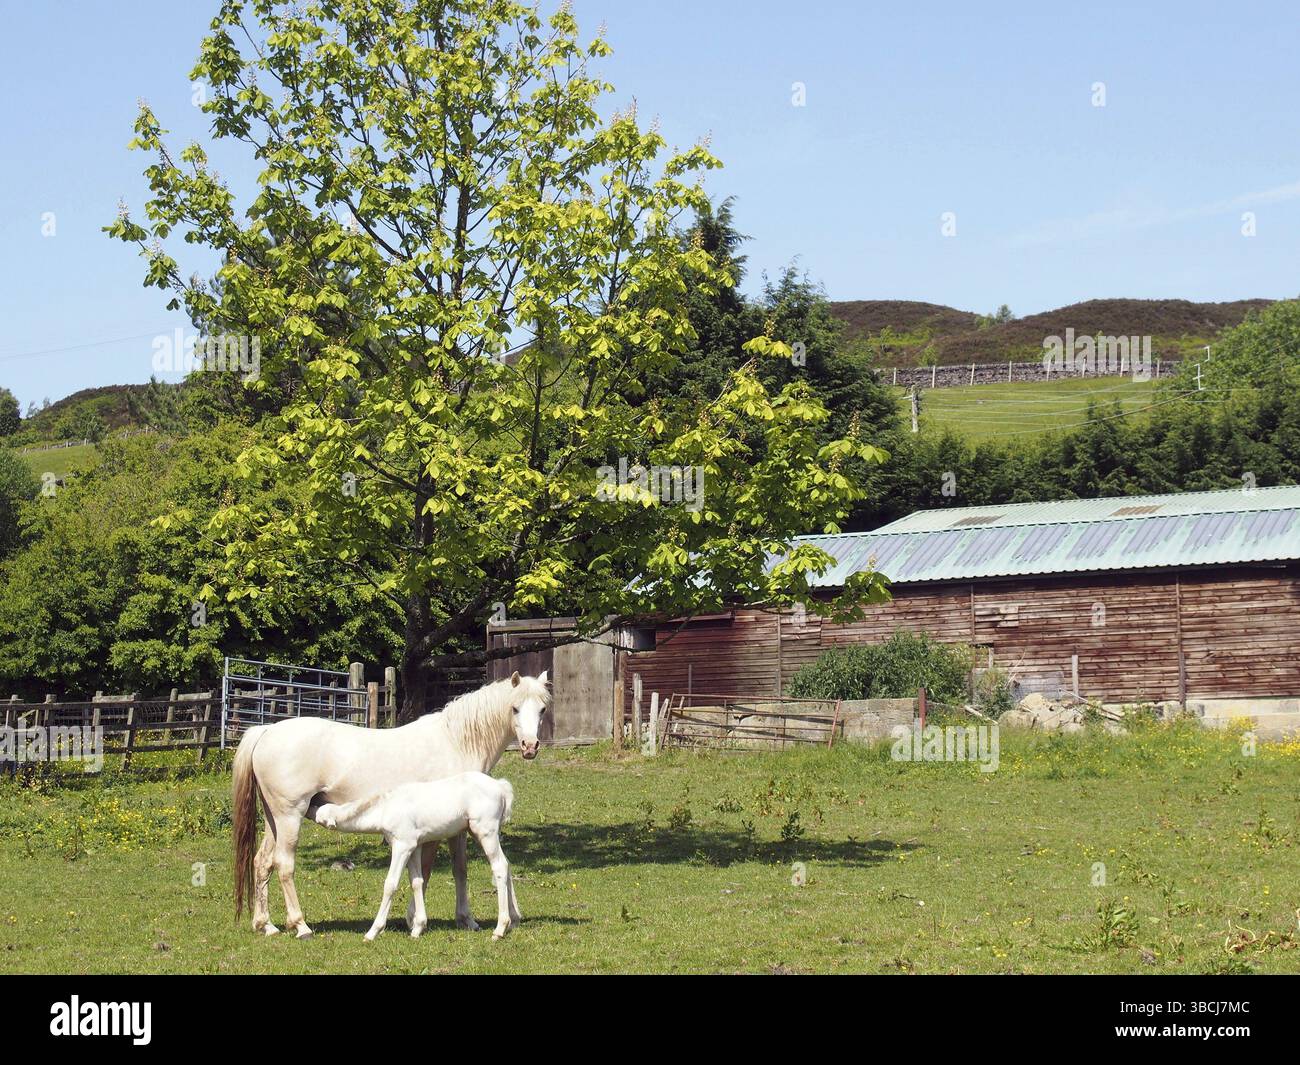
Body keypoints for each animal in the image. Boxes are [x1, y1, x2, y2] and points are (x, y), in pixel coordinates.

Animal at [314, 773, 519, 941]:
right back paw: (513, 921)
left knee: (500, 867)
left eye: (320, 816)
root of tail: (500, 787)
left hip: (485, 832)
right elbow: (417, 881)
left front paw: (373, 932)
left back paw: (500, 929)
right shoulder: (414, 847)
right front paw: (418, 928)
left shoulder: (402, 846)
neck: (386, 808)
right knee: (507, 864)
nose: (312, 814)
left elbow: (391, 884)